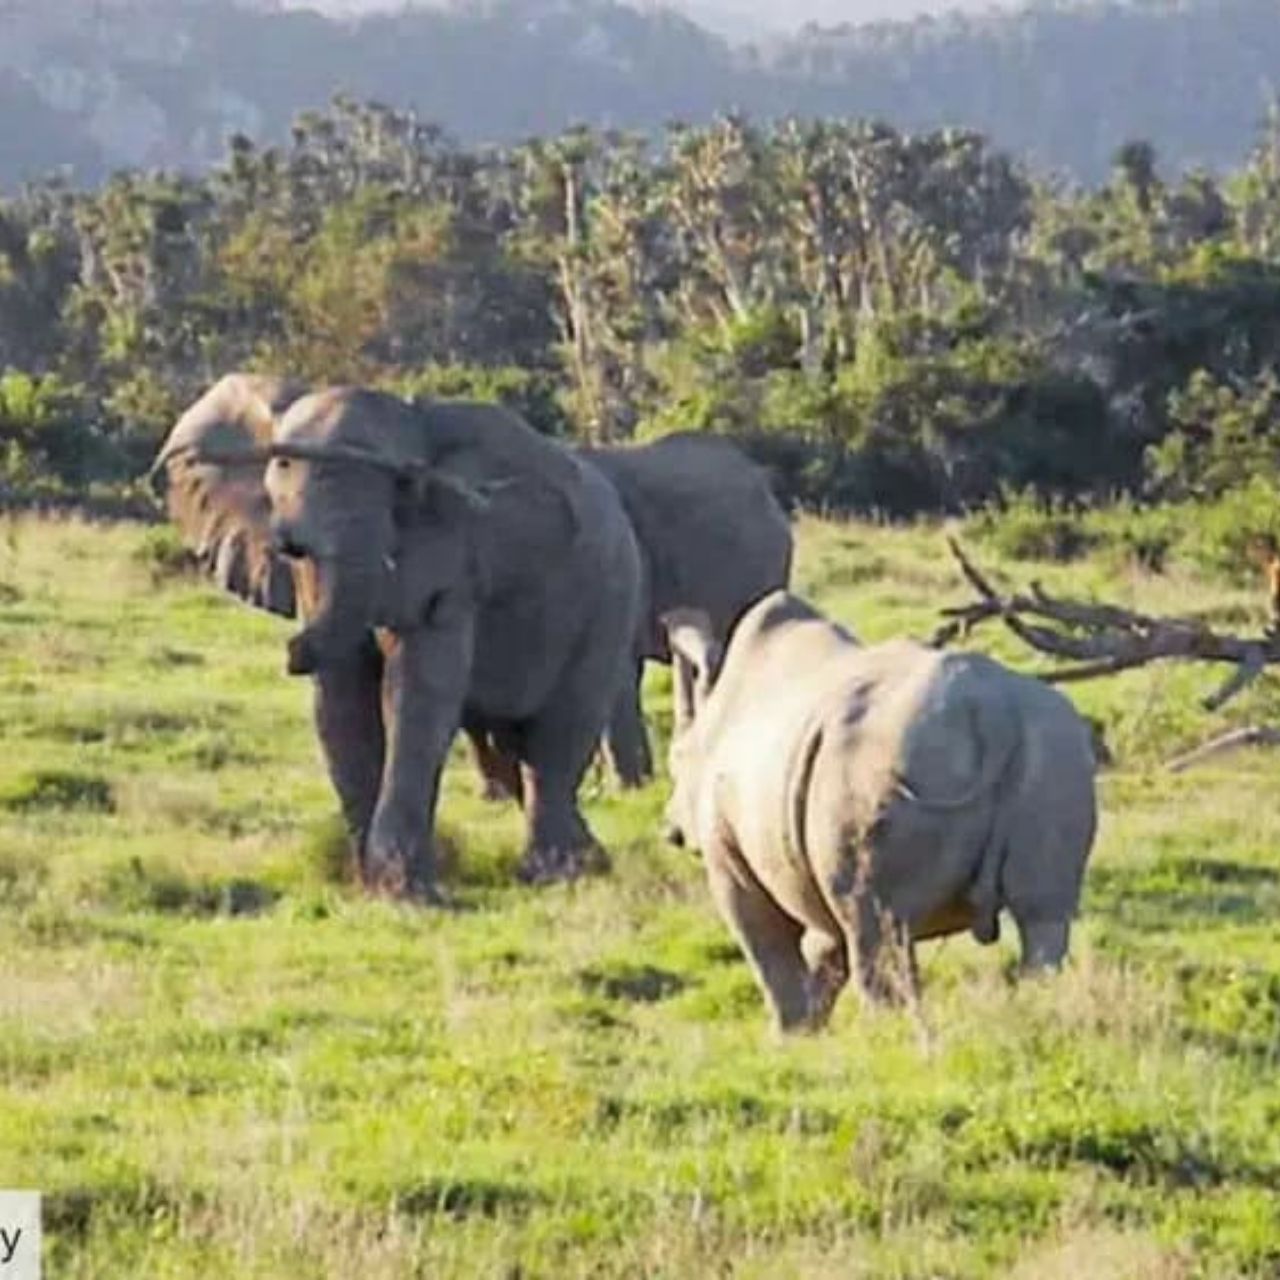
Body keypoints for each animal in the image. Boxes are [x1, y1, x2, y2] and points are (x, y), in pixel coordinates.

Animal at [151, 373, 642, 898]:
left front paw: (408, 892)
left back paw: (557, 873)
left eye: (402, 486)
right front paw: (370, 887)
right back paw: (589, 862)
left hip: (612, 597)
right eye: (281, 462)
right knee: (506, 746)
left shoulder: (455, 550)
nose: (291, 652)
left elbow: (416, 692)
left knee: (556, 740)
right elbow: (342, 697)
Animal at [662, 590, 1098, 1032]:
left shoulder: (728, 856)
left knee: (876, 927)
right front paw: (810, 1031)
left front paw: (789, 1034)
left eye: (674, 762)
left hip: (873, 765)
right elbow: (825, 949)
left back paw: (887, 1037)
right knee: (1043, 916)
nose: (671, 832)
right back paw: (1040, 1007)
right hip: (1055, 744)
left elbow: (768, 949)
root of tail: (990, 713)